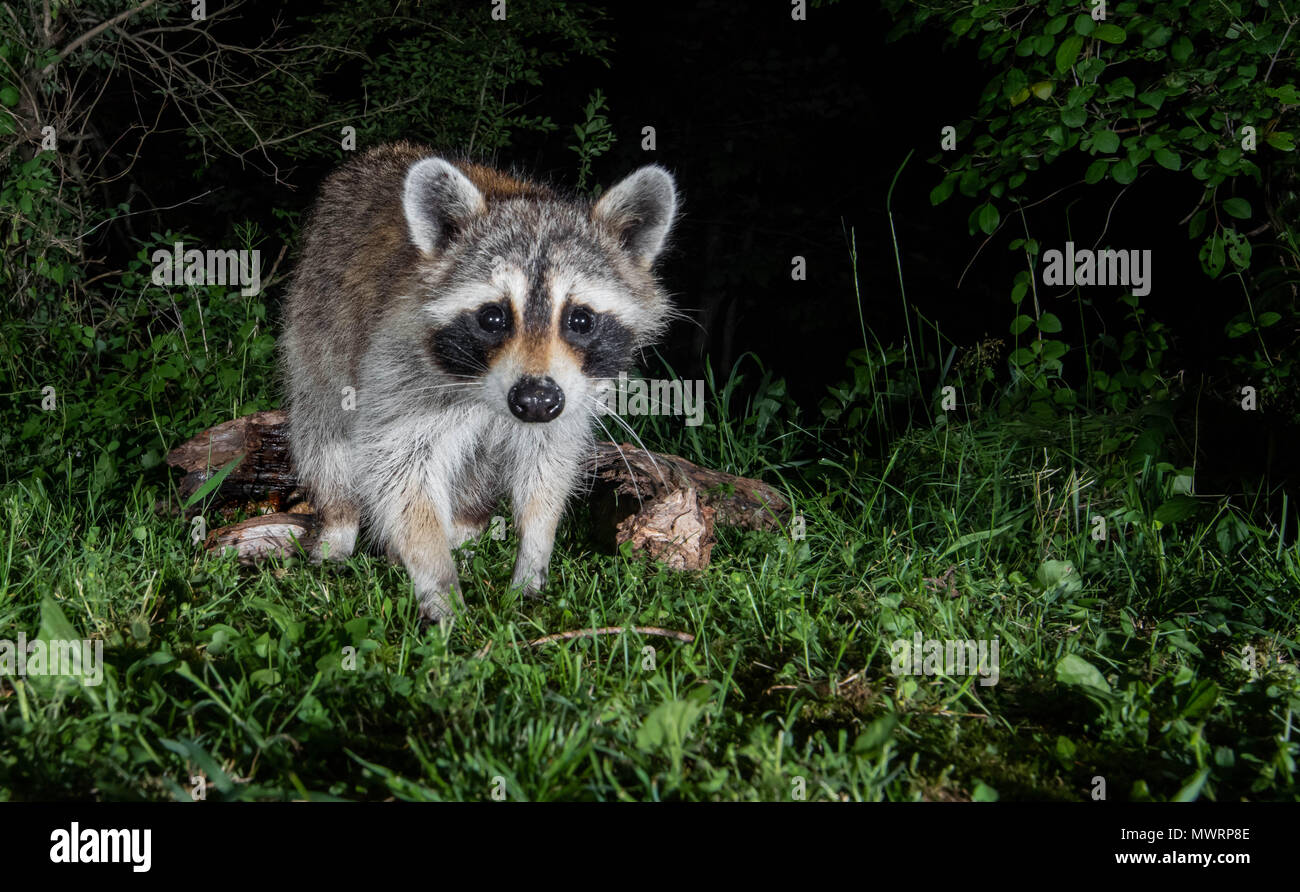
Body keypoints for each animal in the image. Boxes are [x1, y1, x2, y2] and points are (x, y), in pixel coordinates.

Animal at [280, 142, 678, 621]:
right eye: (493, 317)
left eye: (580, 320)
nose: (535, 401)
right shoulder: (399, 367)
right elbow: (399, 473)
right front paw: (439, 582)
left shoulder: (569, 396)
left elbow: (549, 462)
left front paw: (534, 554)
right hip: (316, 323)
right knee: (325, 434)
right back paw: (339, 522)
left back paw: (467, 529)